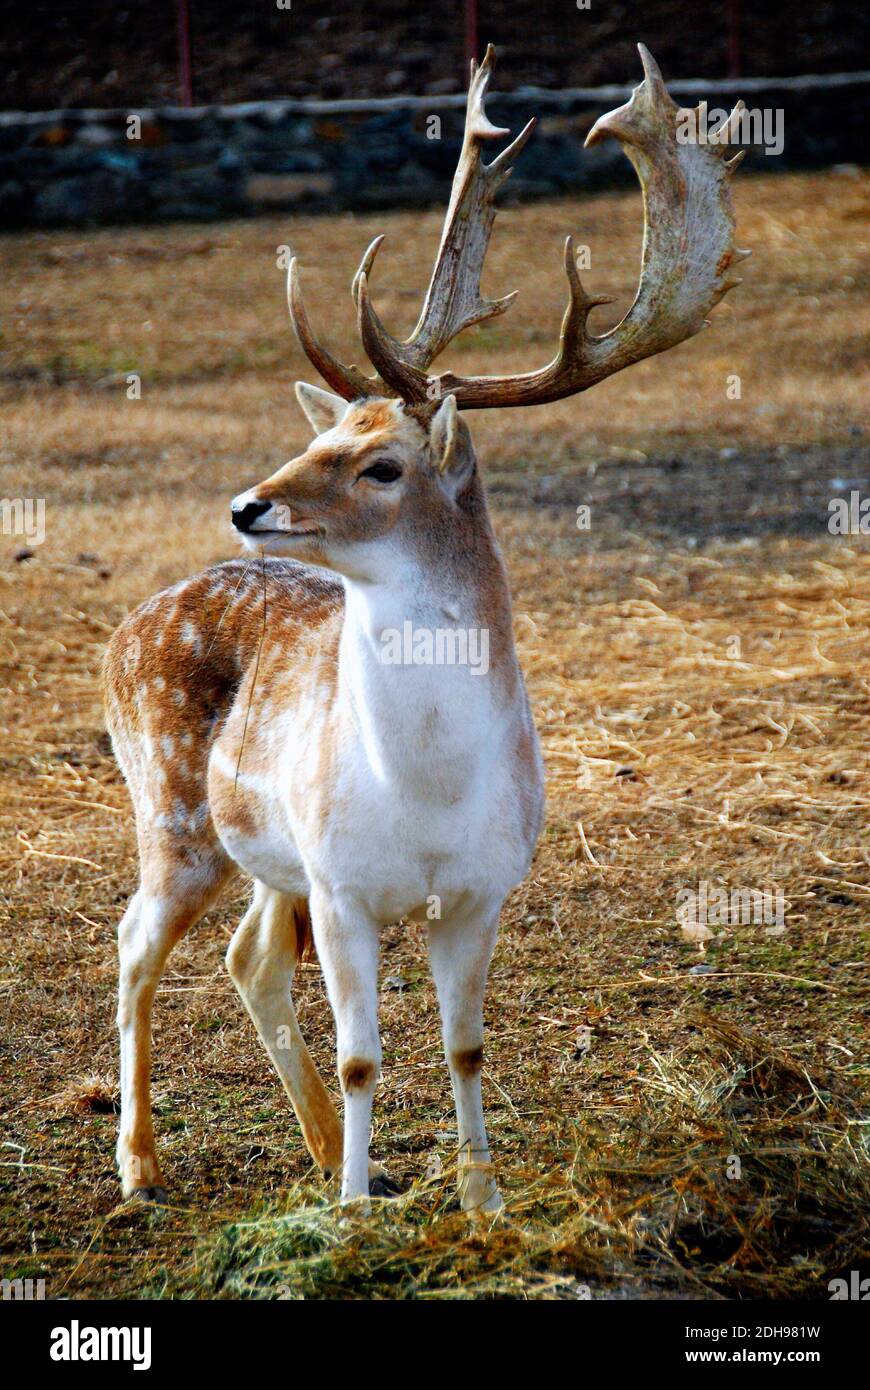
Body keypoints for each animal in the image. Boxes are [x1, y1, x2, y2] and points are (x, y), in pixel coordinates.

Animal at [103, 45, 747, 1212]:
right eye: (330, 435)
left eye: (382, 464)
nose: (249, 503)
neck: (429, 795)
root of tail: (123, 630)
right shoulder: (345, 887)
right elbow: (367, 1053)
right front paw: (357, 1213)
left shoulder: (481, 890)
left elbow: (465, 1047)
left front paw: (477, 1200)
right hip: (170, 808)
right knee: (134, 944)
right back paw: (141, 1163)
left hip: (266, 858)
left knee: (248, 957)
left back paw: (317, 1148)